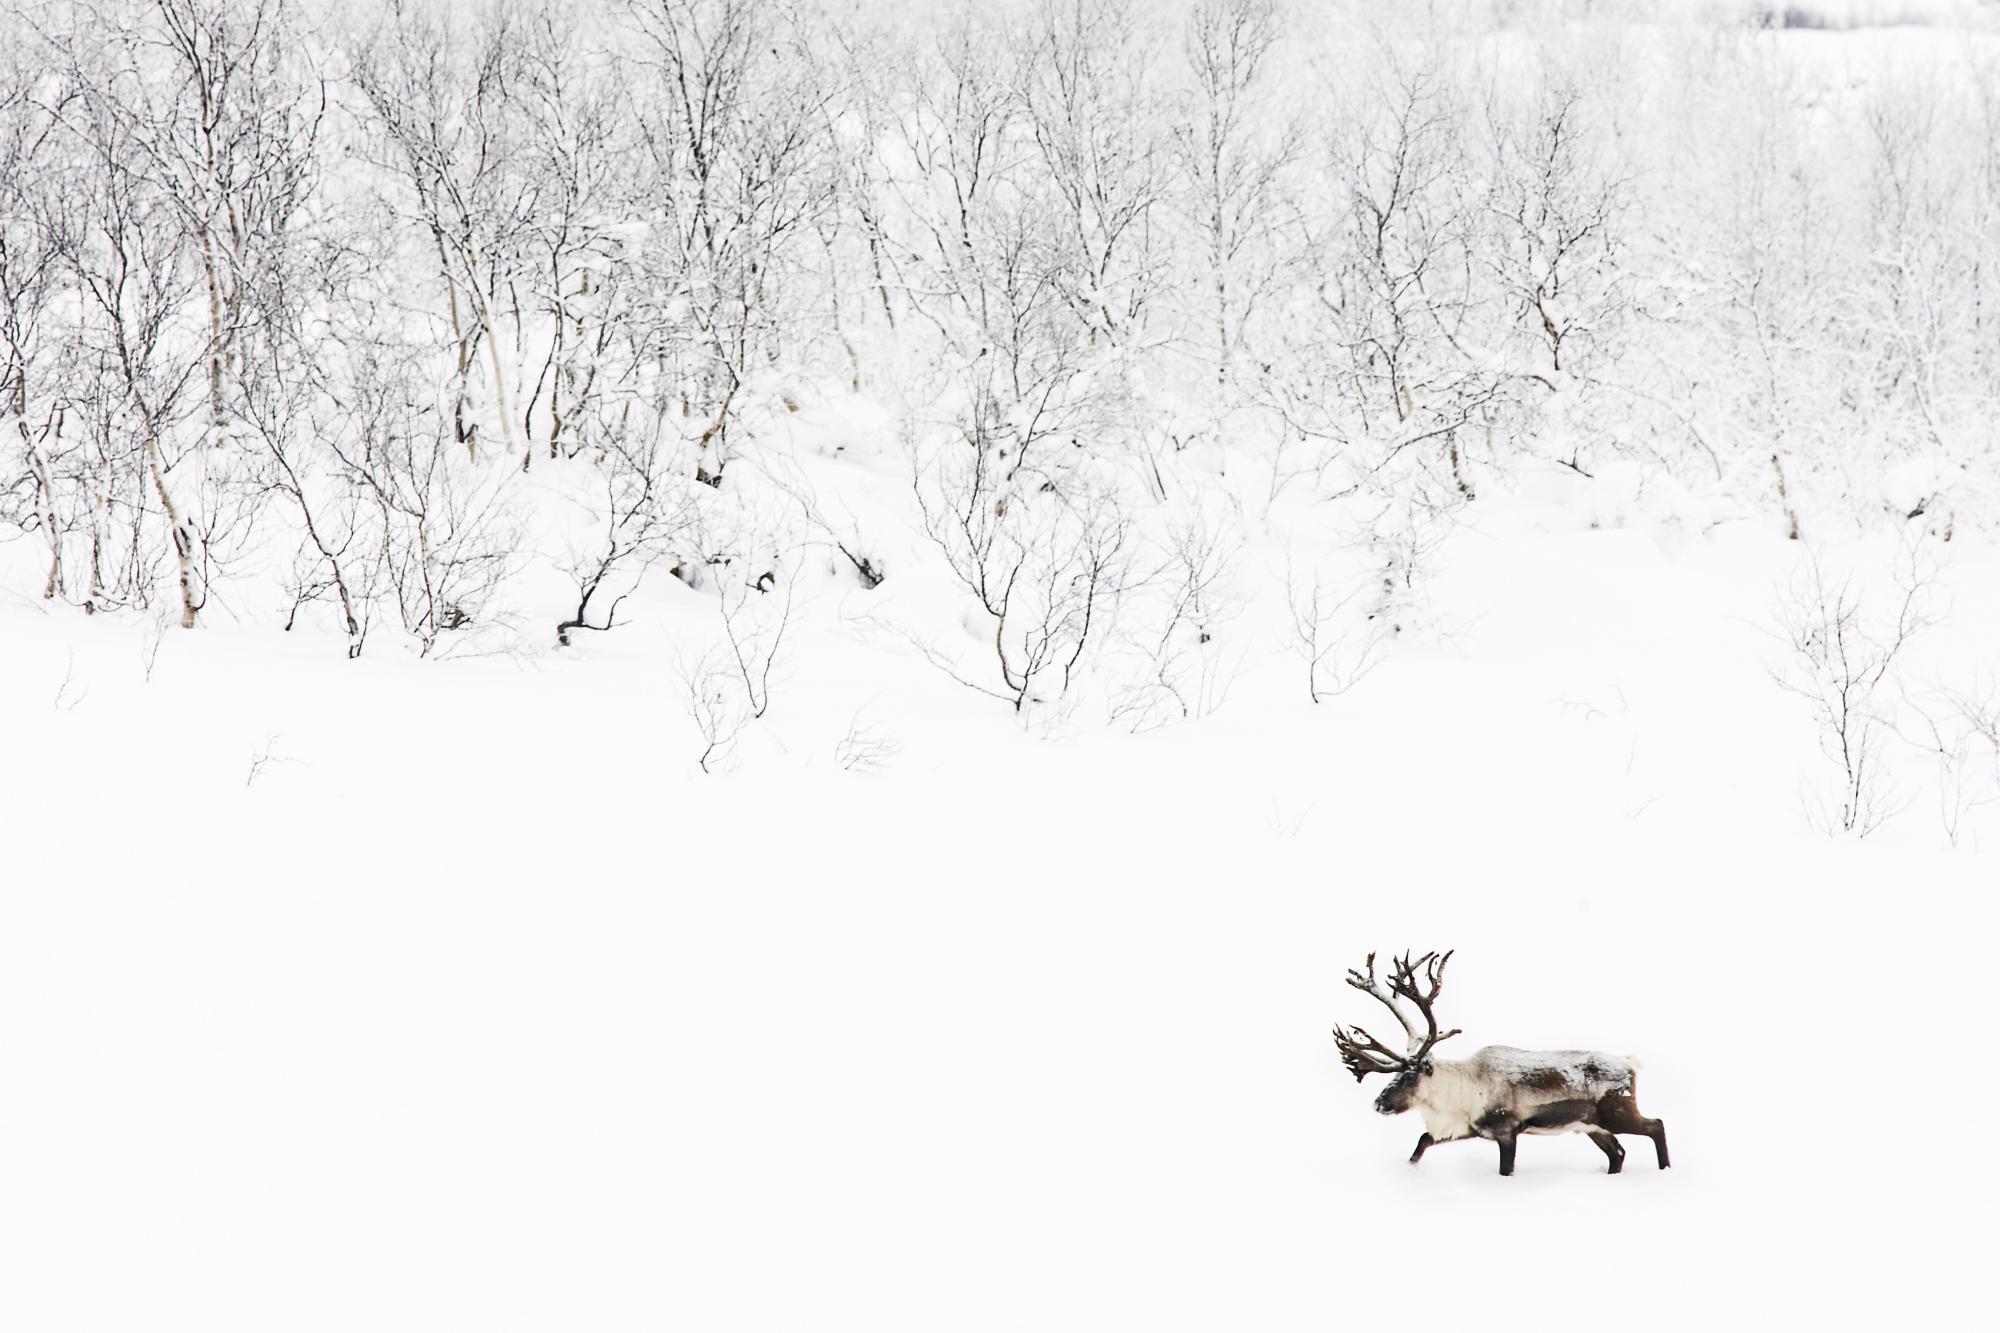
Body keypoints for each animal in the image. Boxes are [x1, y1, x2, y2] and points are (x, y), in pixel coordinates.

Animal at [1331, 950, 1669, 1176]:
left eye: (1409, 1077)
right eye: (1396, 1075)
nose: (1379, 1104)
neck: (1463, 1089)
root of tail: (1630, 1064)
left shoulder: (1507, 1131)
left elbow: (1505, 1169)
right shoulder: (1469, 1127)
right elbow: (1423, 1141)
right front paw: (1409, 1168)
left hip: (1618, 1113)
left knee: (1656, 1125)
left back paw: (1664, 1169)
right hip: (1591, 1125)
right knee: (1618, 1152)